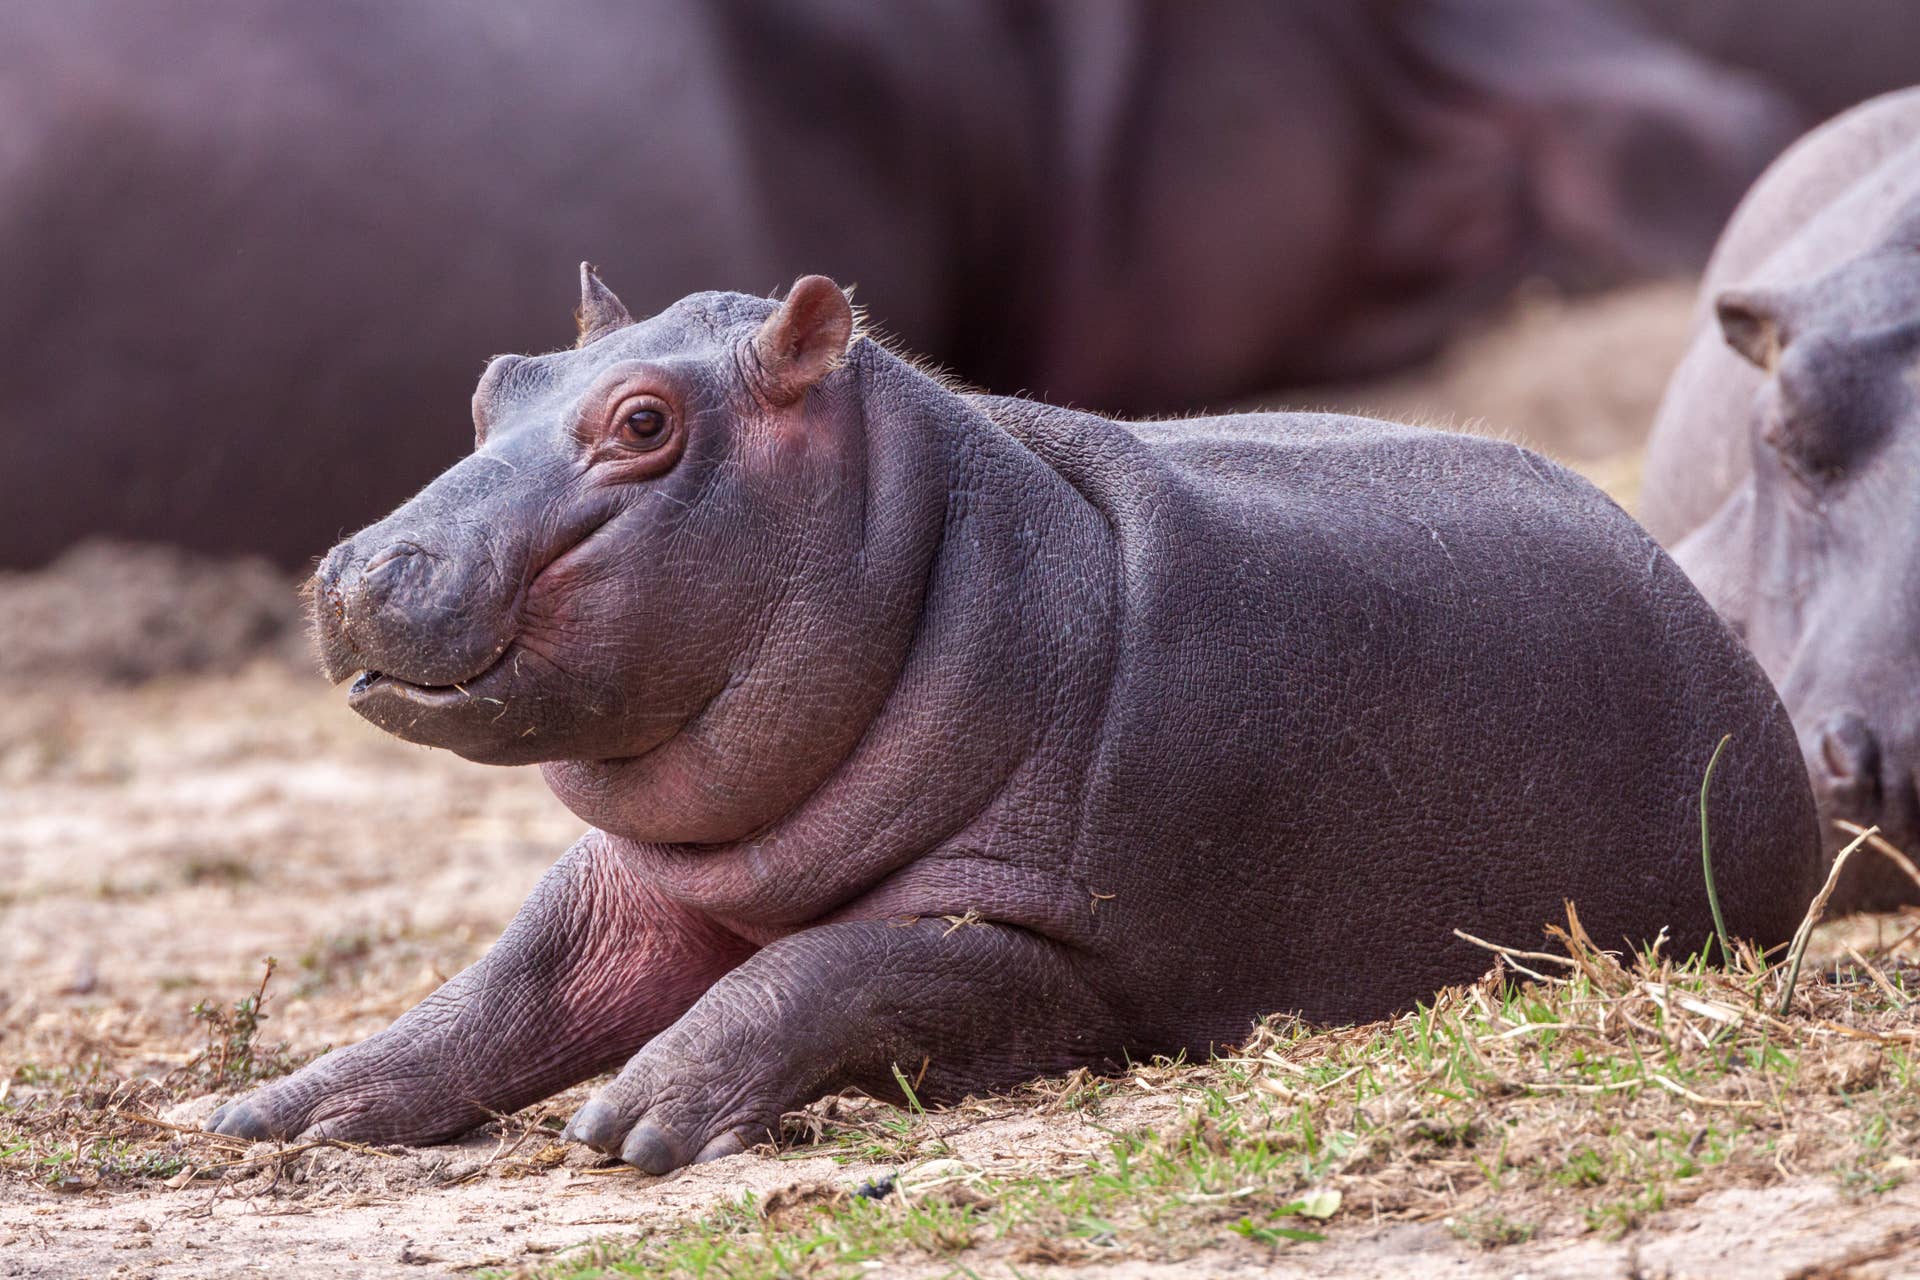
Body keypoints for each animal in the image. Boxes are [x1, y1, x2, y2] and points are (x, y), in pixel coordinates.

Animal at [206, 267, 1818, 1171]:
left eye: (648, 421)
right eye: (497, 382)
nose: (358, 568)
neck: (922, 541)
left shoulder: (1061, 948)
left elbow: (828, 970)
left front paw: (632, 1120)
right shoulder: (646, 882)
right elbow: (515, 979)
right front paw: (272, 1114)